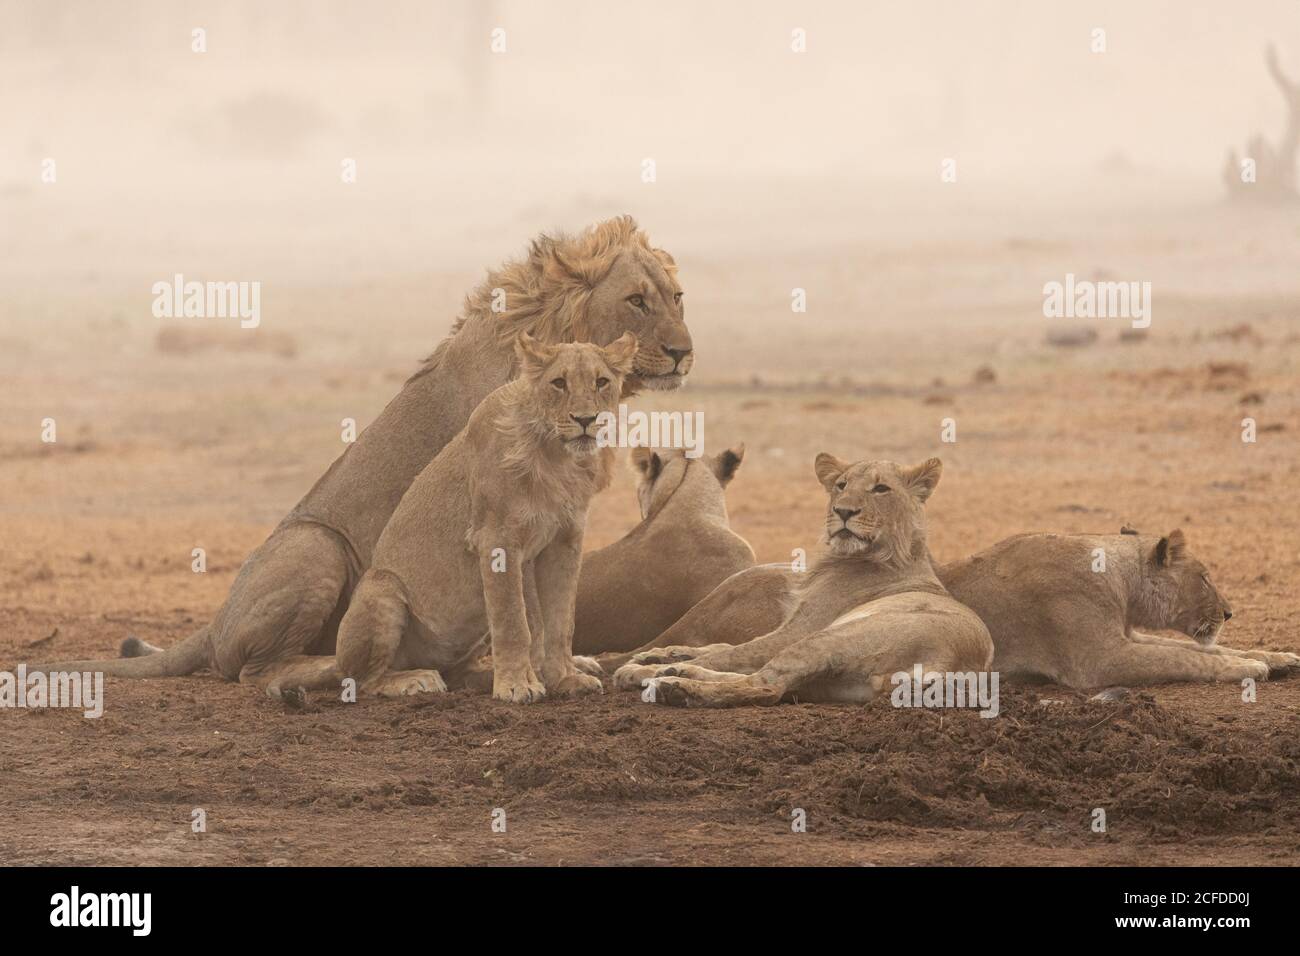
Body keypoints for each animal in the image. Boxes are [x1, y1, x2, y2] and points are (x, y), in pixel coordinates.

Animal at [25, 216, 693, 690]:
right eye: (636, 300)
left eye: (678, 297)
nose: (685, 353)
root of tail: (214, 625)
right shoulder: (503, 515)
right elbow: (522, 602)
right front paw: (525, 676)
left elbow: (556, 605)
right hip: (317, 546)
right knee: (254, 670)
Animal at [612, 455, 994, 708]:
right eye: (841, 485)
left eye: (881, 489)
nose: (843, 511)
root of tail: (957, 667)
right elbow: (724, 647)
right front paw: (663, 653)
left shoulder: (798, 628)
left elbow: (732, 652)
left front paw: (644, 666)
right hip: (833, 682)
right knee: (771, 681)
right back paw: (670, 670)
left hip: (831, 638)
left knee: (765, 687)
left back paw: (671, 684)